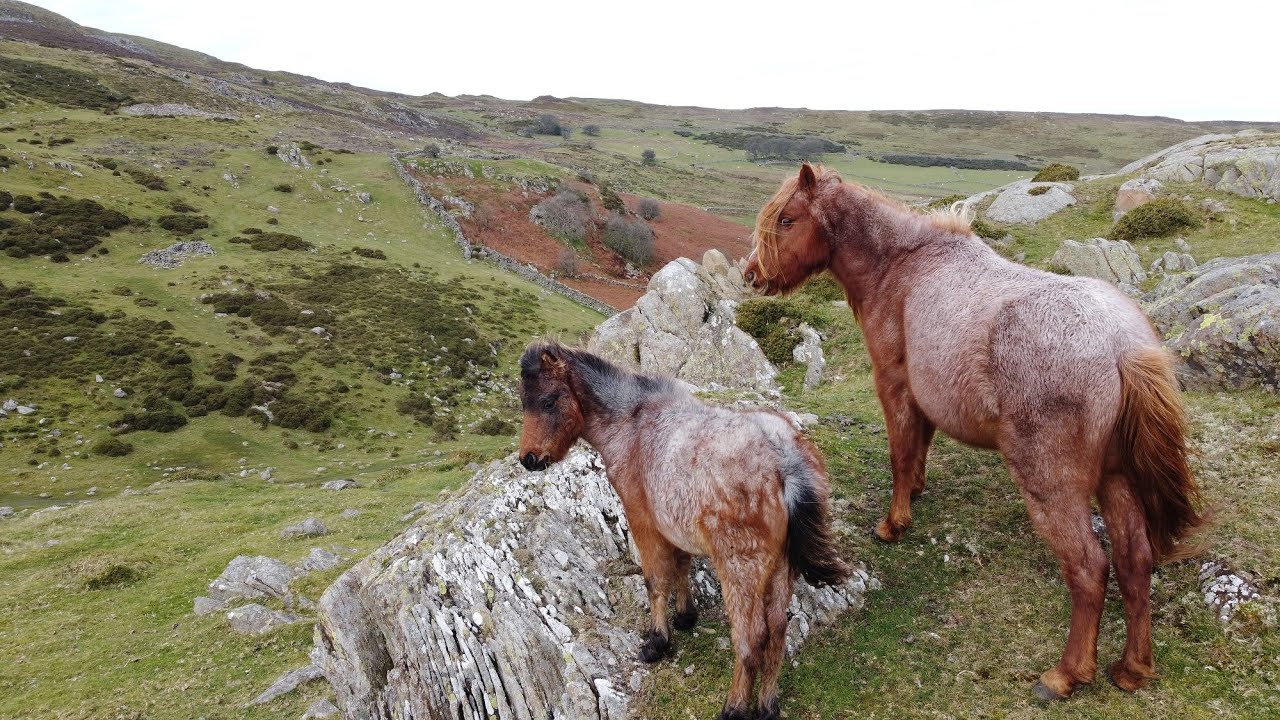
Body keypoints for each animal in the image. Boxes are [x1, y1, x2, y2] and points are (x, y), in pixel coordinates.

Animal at [518, 341, 849, 720]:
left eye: (548, 401)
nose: (528, 458)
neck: (630, 424)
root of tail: (784, 456)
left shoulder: (643, 519)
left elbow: (655, 579)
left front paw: (656, 641)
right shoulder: (673, 524)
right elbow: (681, 564)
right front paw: (686, 615)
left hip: (740, 565)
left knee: (752, 637)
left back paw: (735, 706)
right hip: (783, 563)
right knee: (779, 628)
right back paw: (768, 704)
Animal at [742, 163, 1205, 701]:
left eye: (787, 219)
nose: (751, 274)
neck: (903, 266)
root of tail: (1123, 346)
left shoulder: (894, 384)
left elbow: (901, 452)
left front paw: (894, 523)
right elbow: (919, 446)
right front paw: (916, 493)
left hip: (1054, 489)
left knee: (1091, 569)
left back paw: (1066, 674)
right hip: (1117, 481)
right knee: (1134, 562)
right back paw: (1132, 668)